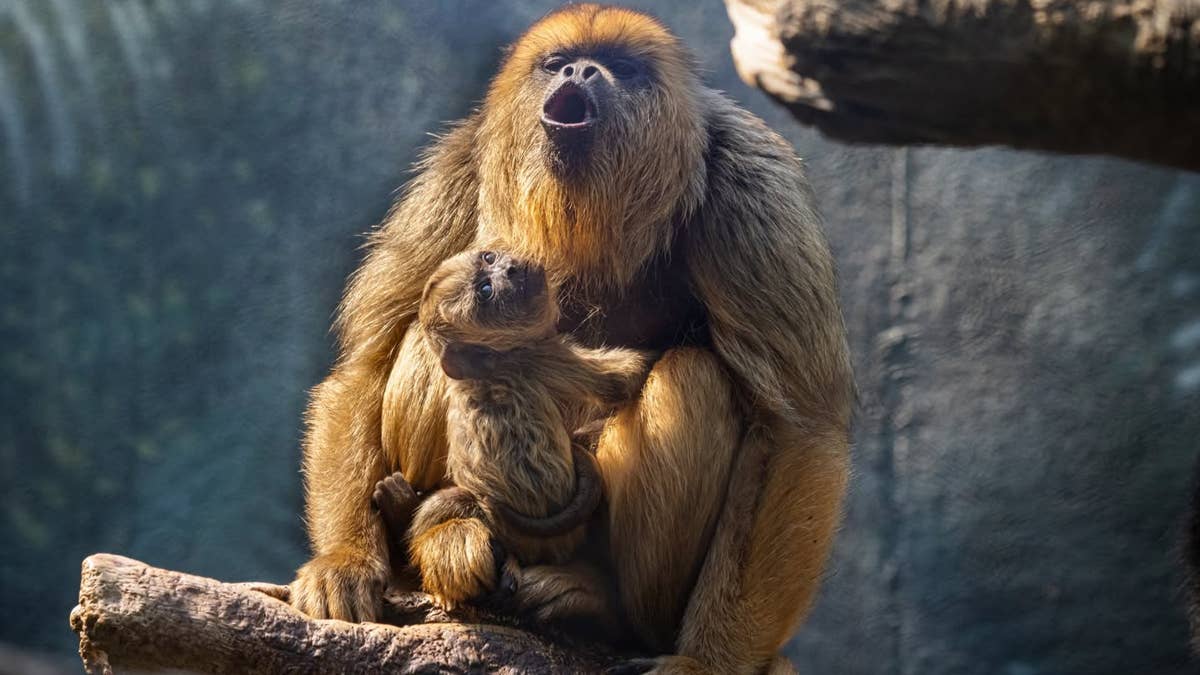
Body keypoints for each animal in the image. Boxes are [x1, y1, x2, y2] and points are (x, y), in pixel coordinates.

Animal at [291, 5, 853, 674]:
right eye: (560, 63)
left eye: (620, 67)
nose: (581, 72)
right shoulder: (461, 161)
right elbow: (367, 362)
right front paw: (344, 564)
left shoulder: (751, 180)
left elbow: (797, 428)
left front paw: (705, 663)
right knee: (429, 337)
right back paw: (440, 534)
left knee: (692, 380)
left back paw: (599, 606)